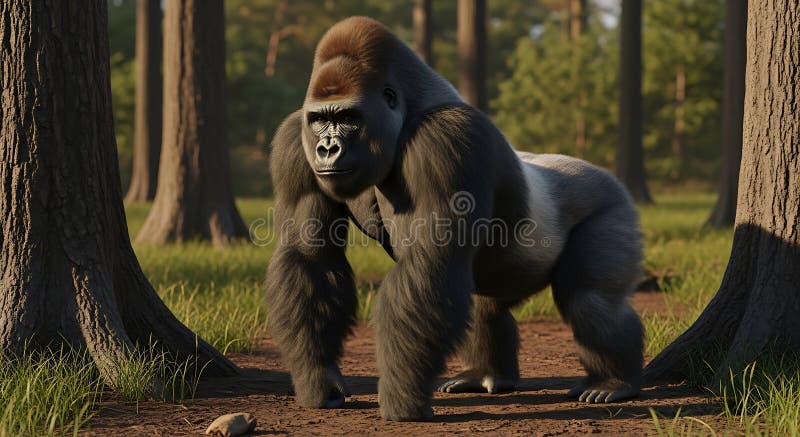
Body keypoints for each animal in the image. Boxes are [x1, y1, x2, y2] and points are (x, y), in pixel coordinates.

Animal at [265, 16, 644, 422]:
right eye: (320, 120)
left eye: (349, 118)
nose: (327, 148)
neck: (408, 110)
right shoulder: (294, 139)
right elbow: (311, 257)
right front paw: (318, 379)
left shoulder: (447, 138)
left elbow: (432, 260)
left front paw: (401, 399)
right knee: (485, 303)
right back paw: (485, 373)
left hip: (611, 203)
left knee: (590, 301)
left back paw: (615, 381)